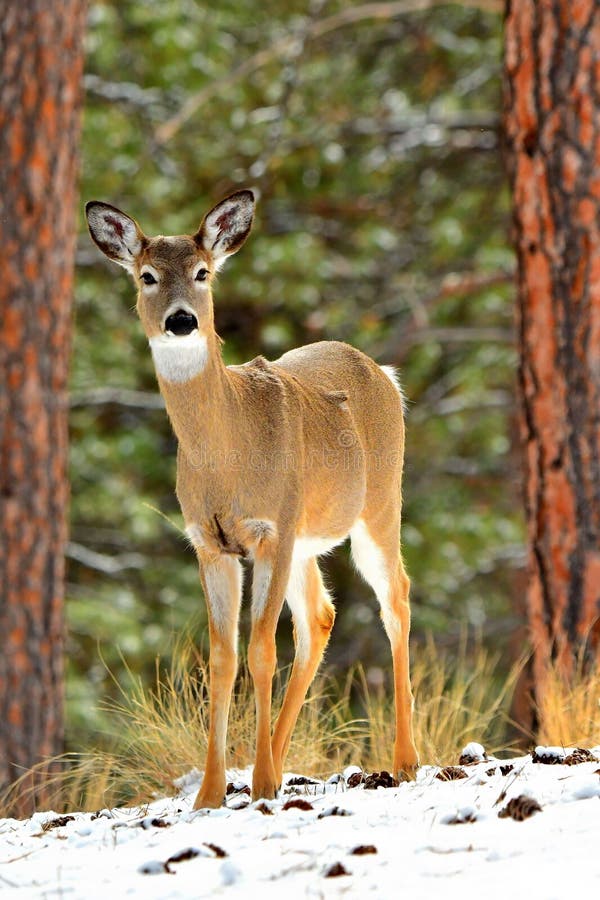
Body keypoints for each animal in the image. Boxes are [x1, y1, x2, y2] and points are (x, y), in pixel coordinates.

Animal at [85, 189, 418, 808]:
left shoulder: (271, 530)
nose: (182, 320)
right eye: (146, 276)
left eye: (202, 272)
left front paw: (261, 783)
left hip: (379, 504)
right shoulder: (210, 543)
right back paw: (283, 758)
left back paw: (403, 760)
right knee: (321, 616)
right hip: (308, 539)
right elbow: (223, 657)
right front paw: (211, 791)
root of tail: (383, 372)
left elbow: (263, 649)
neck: (228, 455)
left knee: (396, 599)